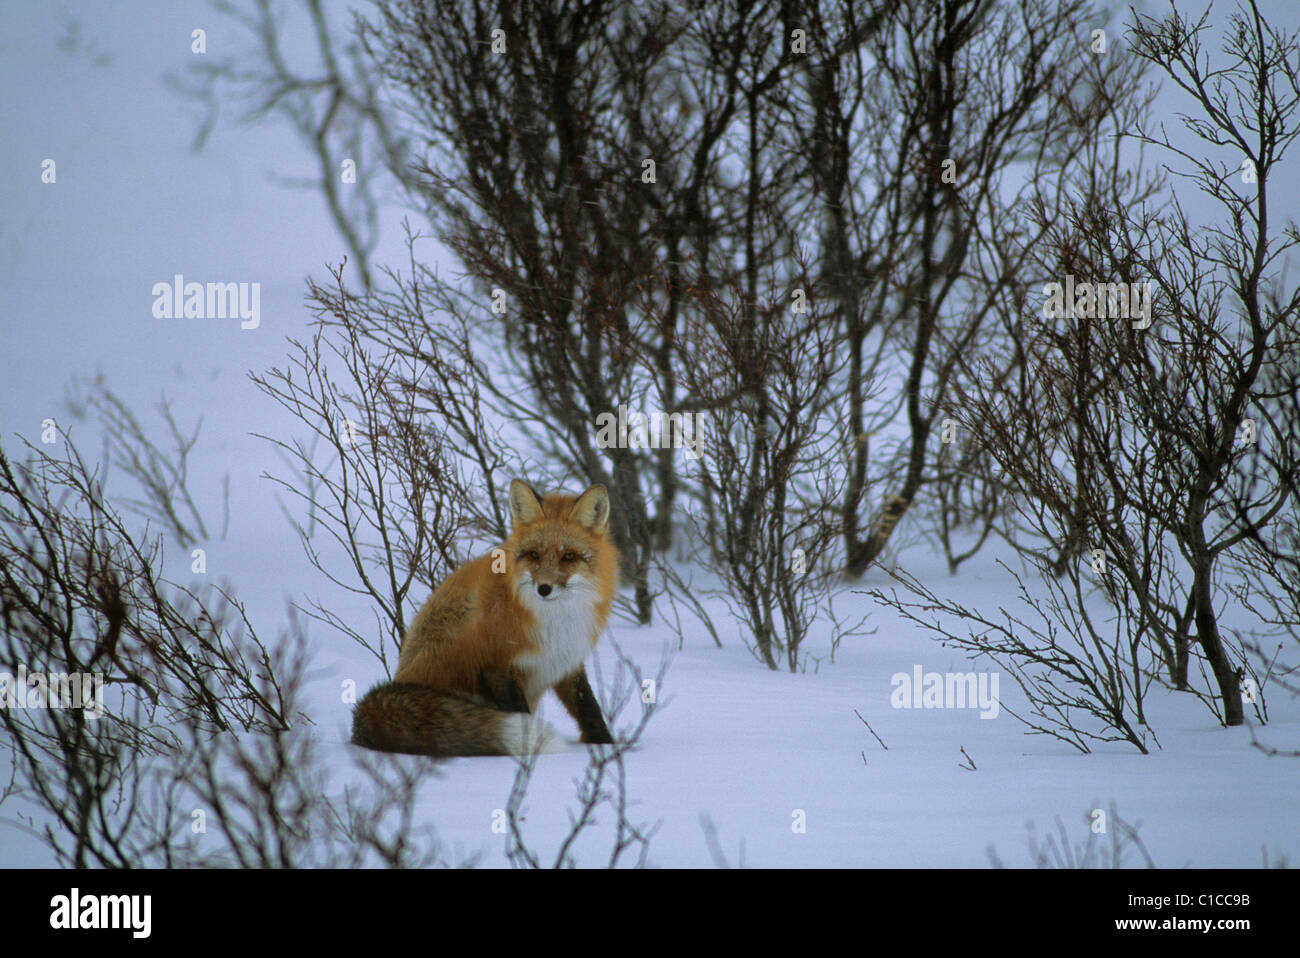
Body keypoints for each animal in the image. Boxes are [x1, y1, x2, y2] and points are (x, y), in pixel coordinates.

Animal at [350, 479, 619, 757]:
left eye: (569, 557)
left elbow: (588, 707)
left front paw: (608, 746)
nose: (544, 589)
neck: (555, 619)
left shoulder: (565, 659)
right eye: (534, 554)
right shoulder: (497, 667)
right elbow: (523, 713)